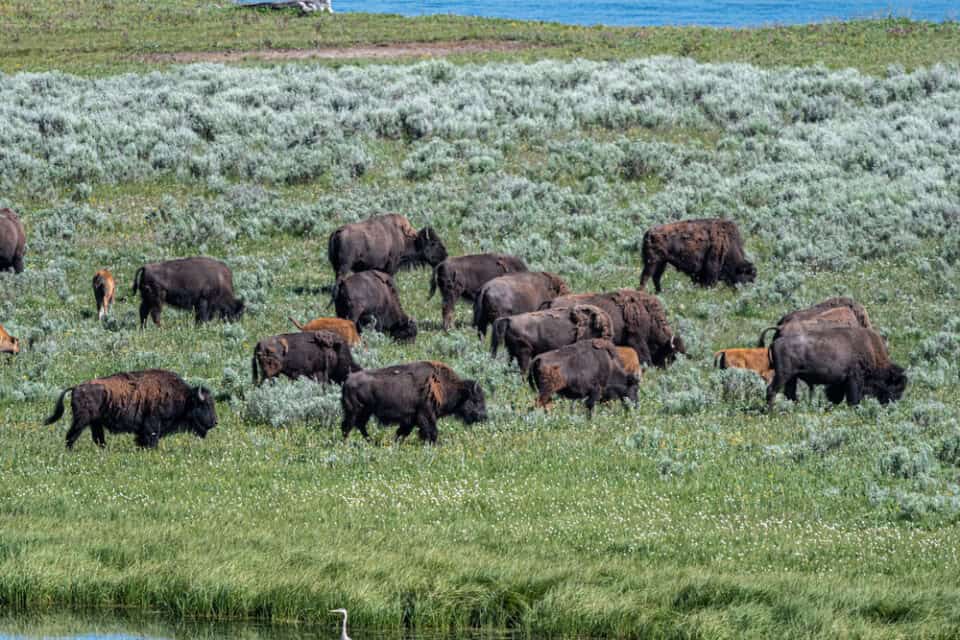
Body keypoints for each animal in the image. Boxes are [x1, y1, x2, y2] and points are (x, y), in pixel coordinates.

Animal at [44, 369, 217, 449]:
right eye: (205, 405)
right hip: (81, 421)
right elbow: (151, 439)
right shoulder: (152, 426)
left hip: (95, 422)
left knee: (98, 439)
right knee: (71, 436)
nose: (215, 422)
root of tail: (76, 387)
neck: (184, 397)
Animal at [341, 361, 487, 443]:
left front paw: (396, 442)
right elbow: (431, 431)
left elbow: (402, 432)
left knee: (359, 425)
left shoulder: (410, 419)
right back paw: (347, 443)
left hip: (365, 412)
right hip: (354, 411)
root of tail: (348, 380)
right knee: (348, 426)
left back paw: (370, 441)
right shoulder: (425, 415)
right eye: (476, 400)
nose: (484, 417)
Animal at [766, 326, 907, 408]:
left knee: (789, 393)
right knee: (772, 390)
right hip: (783, 375)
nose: (892, 403)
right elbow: (853, 399)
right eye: (896, 387)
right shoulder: (854, 379)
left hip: (792, 377)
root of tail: (775, 342)